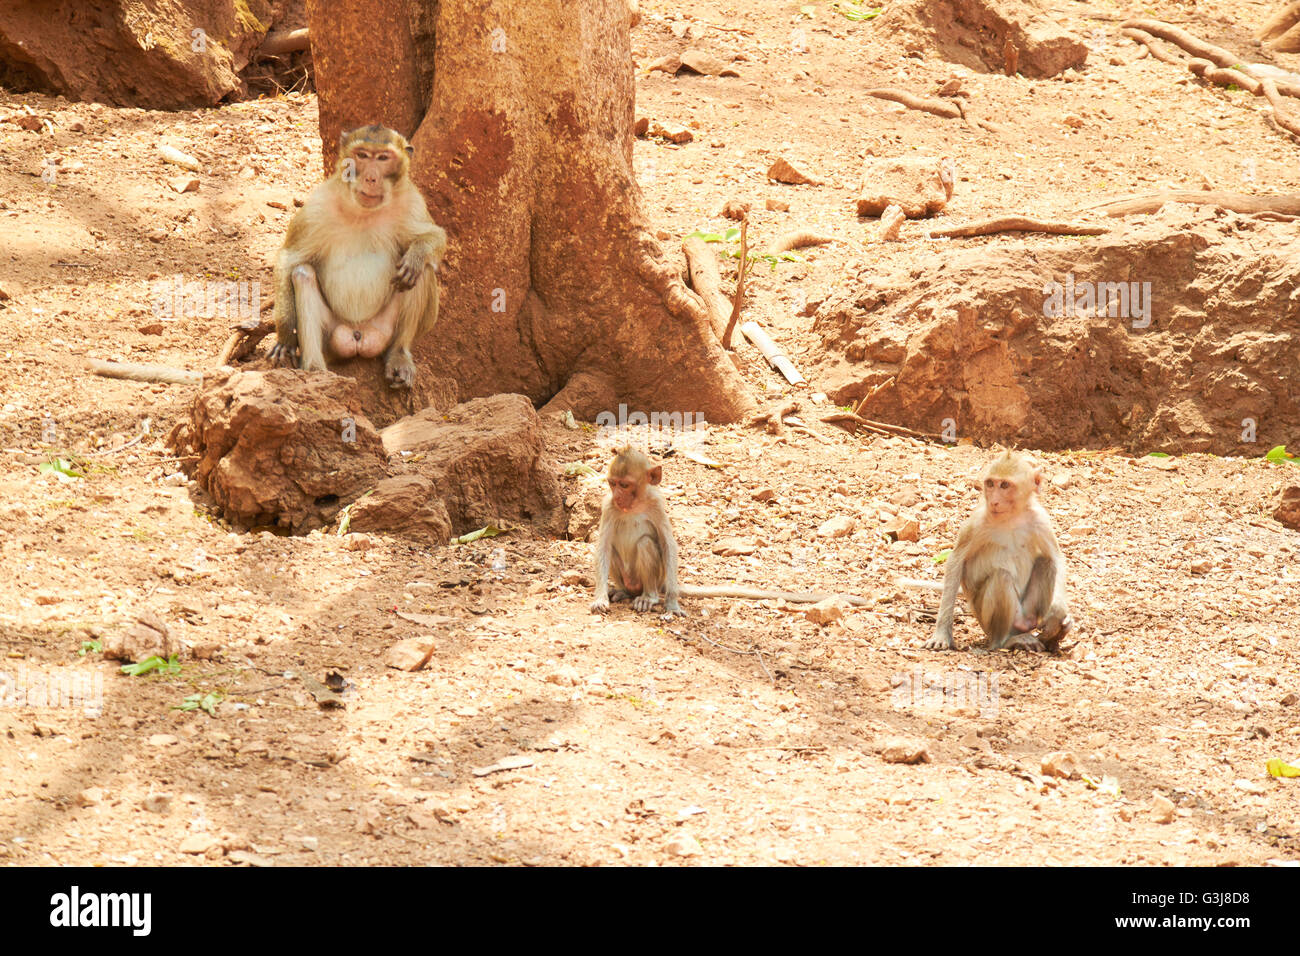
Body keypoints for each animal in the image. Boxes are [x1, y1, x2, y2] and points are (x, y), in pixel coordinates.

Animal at [269, 125, 447, 388]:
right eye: (362, 155)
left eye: (383, 158)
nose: (371, 178)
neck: (363, 212)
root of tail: (359, 334)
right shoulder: (316, 207)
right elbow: (289, 259)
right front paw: (285, 337)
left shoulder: (411, 202)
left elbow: (434, 237)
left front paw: (418, 252)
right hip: (332, 337)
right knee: (302, 274)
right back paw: (316, 371)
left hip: (383, 331)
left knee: (420, 272)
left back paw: (399, 356)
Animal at [590, 447, 872, 616]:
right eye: (612, 484)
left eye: (626, 485)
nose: (619, 496)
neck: (634, 506)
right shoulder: (608, 506)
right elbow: (603, 546)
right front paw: (600, 597)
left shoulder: (656, 504)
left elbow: (668, 546)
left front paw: (672, 602)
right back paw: (624, 591)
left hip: (657, 577)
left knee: (646, 544)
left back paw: (648, 596)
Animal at [924, 450, 1071, 652]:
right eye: (990, 484)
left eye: (1004, 485)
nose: (993, 501)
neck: (1011, 518)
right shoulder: (976, 523)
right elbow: (956, 561)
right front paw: (942, 634)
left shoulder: (1040, 519)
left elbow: (1056, 558)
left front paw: (1057, 611)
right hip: (988, 620)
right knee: (1001, 577)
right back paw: (1005, 642)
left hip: (1027, 611)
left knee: (1046, 563)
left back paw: (1052, 635)